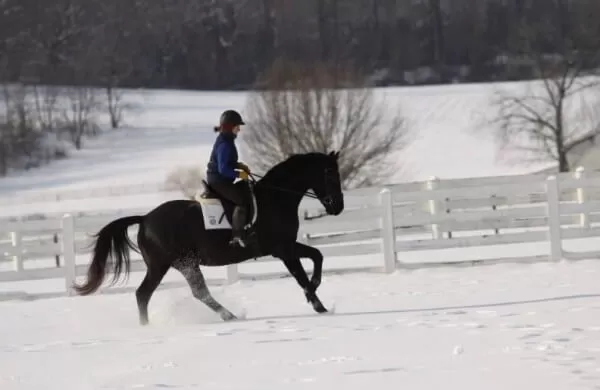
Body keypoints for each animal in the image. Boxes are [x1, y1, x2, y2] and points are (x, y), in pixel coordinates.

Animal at [72, 151, 344, 324]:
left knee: (171, 293)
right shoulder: (283, 249)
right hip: (172, 264)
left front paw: (315, 292)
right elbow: (302, 274)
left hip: (177, 264)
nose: (338, 206)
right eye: (330, 174)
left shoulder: (286, 246)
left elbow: (317, 255)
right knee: (153, 294)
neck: (276, 198)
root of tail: (145, 218)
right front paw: (317, 303)